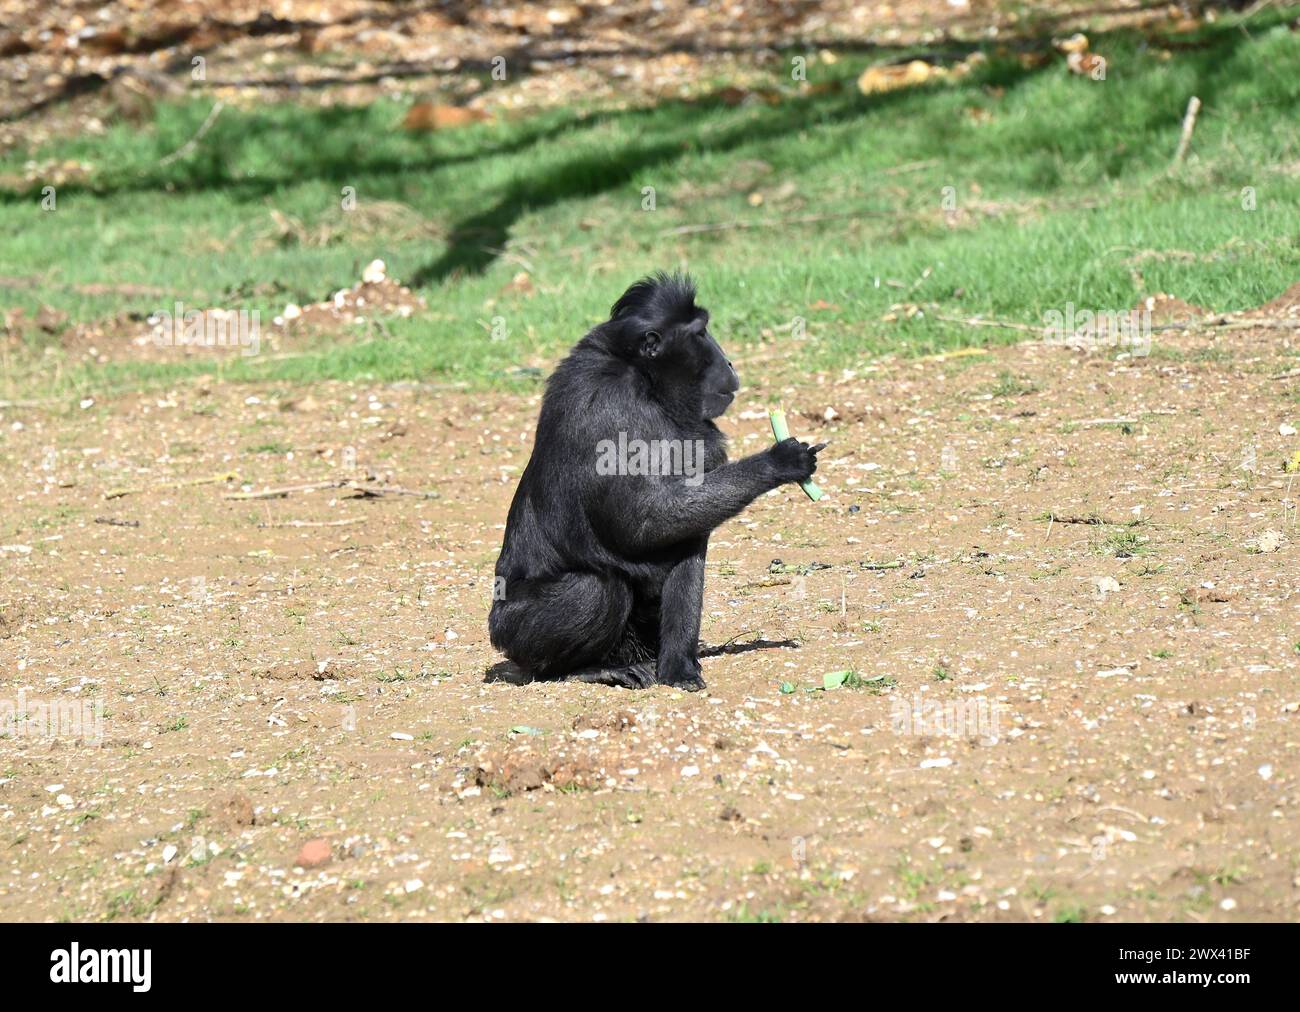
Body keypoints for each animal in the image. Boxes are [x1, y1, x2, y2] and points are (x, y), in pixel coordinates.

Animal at [488, 272, 823, 690]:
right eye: (700, 333)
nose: (729, 360)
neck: (644, 378)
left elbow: (679, 532)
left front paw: (679, 666)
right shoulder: (612, 405)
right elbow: (642, 522)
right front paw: (778, 462)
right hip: (514, 628)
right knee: (596, 589)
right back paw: (587, 669)